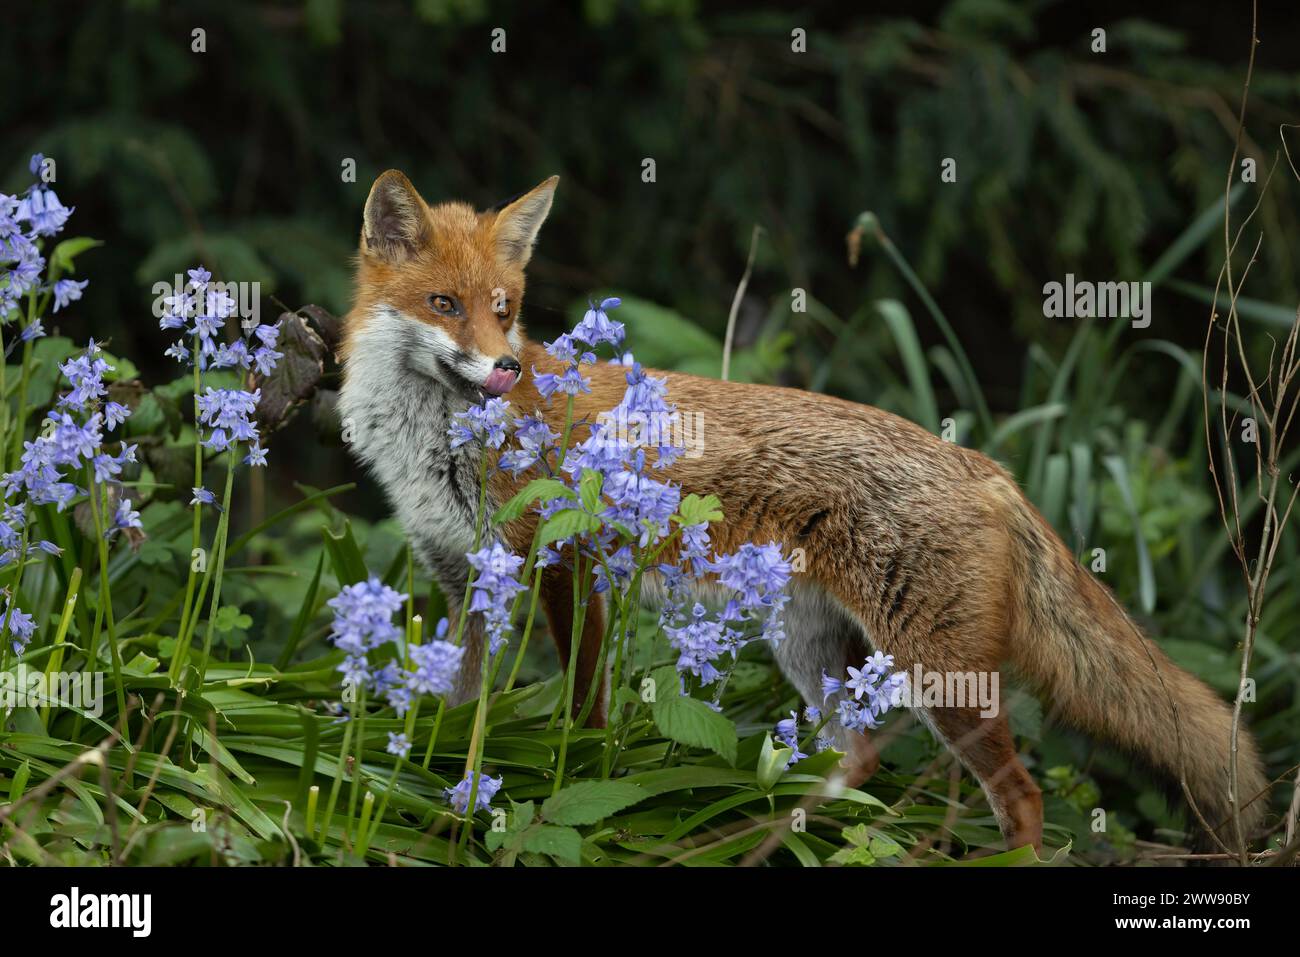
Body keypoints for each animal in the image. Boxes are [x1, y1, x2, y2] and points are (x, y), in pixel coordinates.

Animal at [337, 169, 1269, 852]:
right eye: (444, 305)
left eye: (504, 310)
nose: (500, 369)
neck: (437, 445)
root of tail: (983, 464)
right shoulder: (464, 579)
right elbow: (456, 706)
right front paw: (440, 780)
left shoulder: (565, 565)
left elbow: (582, 715)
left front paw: (571, 785)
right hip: (811, 650)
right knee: (856, 762)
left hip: (939, 674)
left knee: (1024, 794)